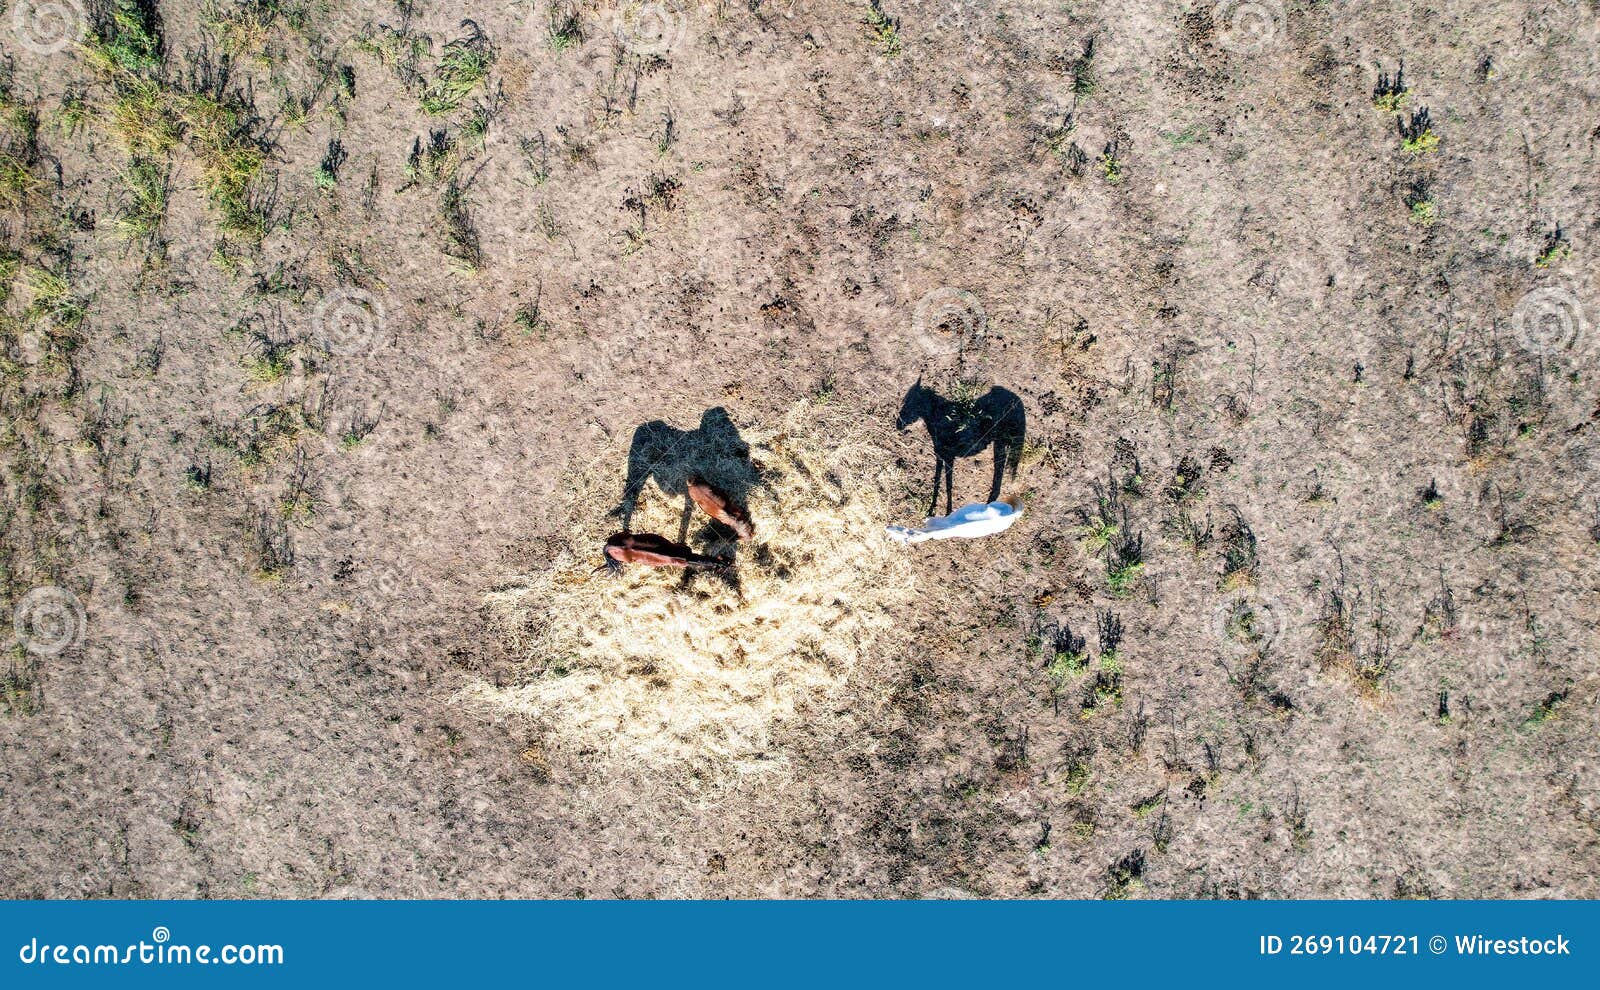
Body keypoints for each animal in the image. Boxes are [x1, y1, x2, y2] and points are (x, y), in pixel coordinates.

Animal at [895, 379, 1027, 516]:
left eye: (912, 403)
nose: (898, 424)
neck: (940, 418)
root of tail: (1014, 399)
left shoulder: (949, 458)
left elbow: (948, 485)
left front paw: (947, 512)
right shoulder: (940, 456)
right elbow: (937, 481)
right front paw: (932, 509)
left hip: (1002, 443)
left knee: (999, 474)